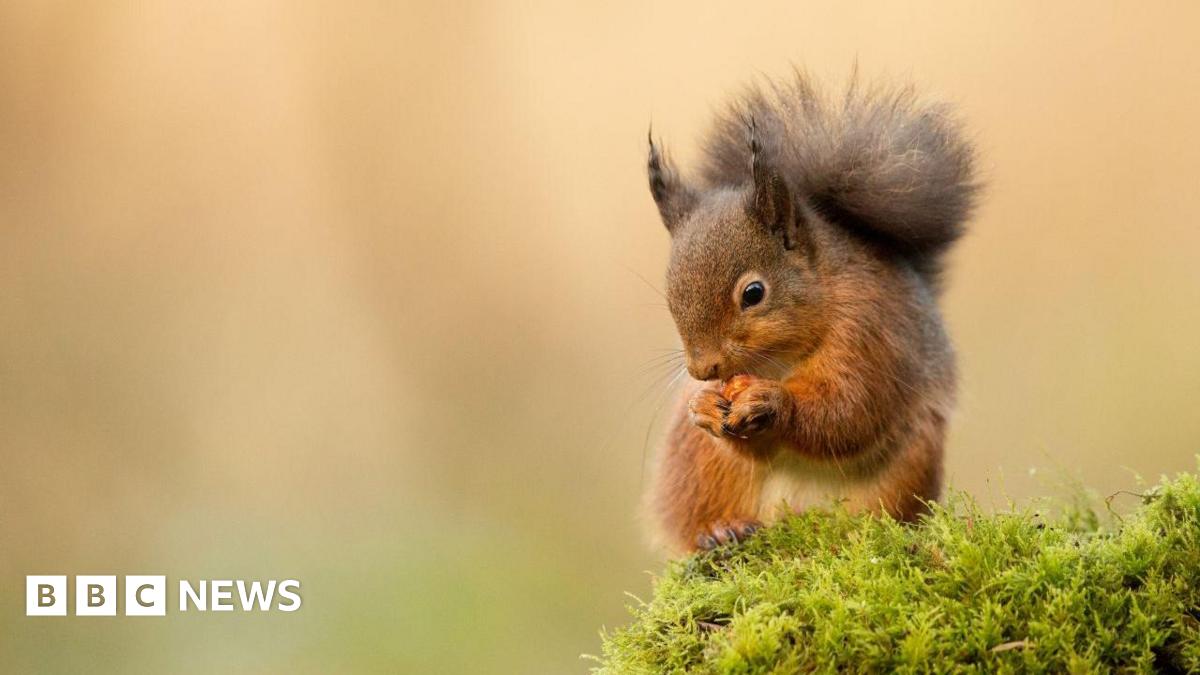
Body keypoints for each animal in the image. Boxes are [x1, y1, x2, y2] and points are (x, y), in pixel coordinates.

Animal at [645, 71, 978, 553]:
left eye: (754, 293)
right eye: (670, 296)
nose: (702, 370)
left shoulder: (870, 334)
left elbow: (848, 410)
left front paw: (772, 402)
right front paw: (703, 406)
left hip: (910, 464)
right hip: (697, 468)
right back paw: (721, 529)